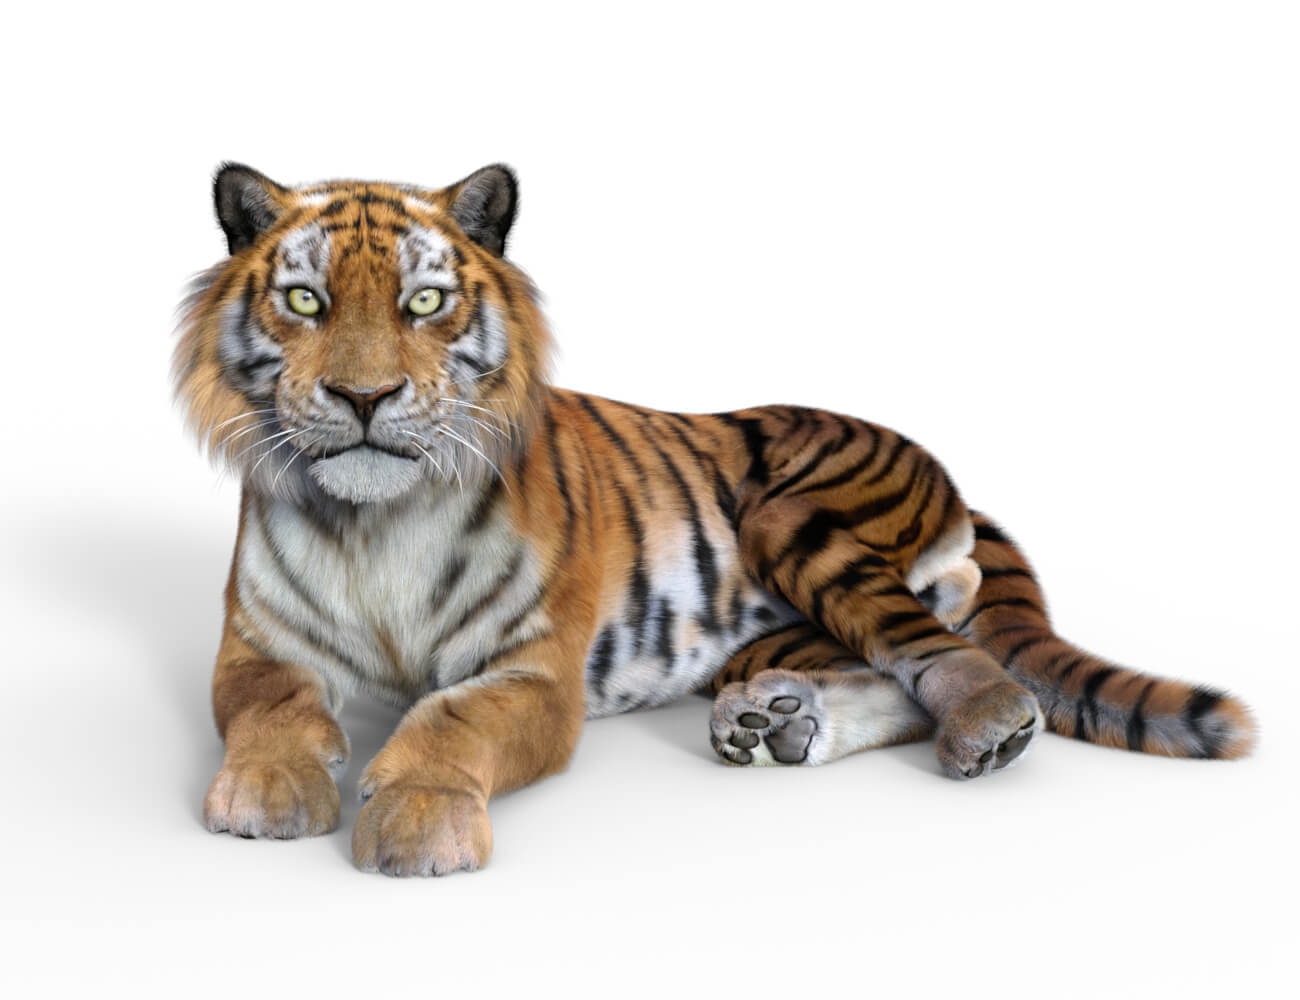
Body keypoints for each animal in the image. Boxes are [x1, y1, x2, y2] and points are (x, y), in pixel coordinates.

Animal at [175, 162, 1258, 877]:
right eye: (304, 300)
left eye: (425, 301)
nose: (364, 397)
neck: (376, 522)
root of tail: (945, 474)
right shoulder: (257, 644)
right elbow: (270, 710)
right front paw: (268, 794)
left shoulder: (531, 671)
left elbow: (450, 719)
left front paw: (416, 821)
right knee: (892, 672)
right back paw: (774, 721)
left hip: (792, 519)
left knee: (942, 648)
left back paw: (984, 725)